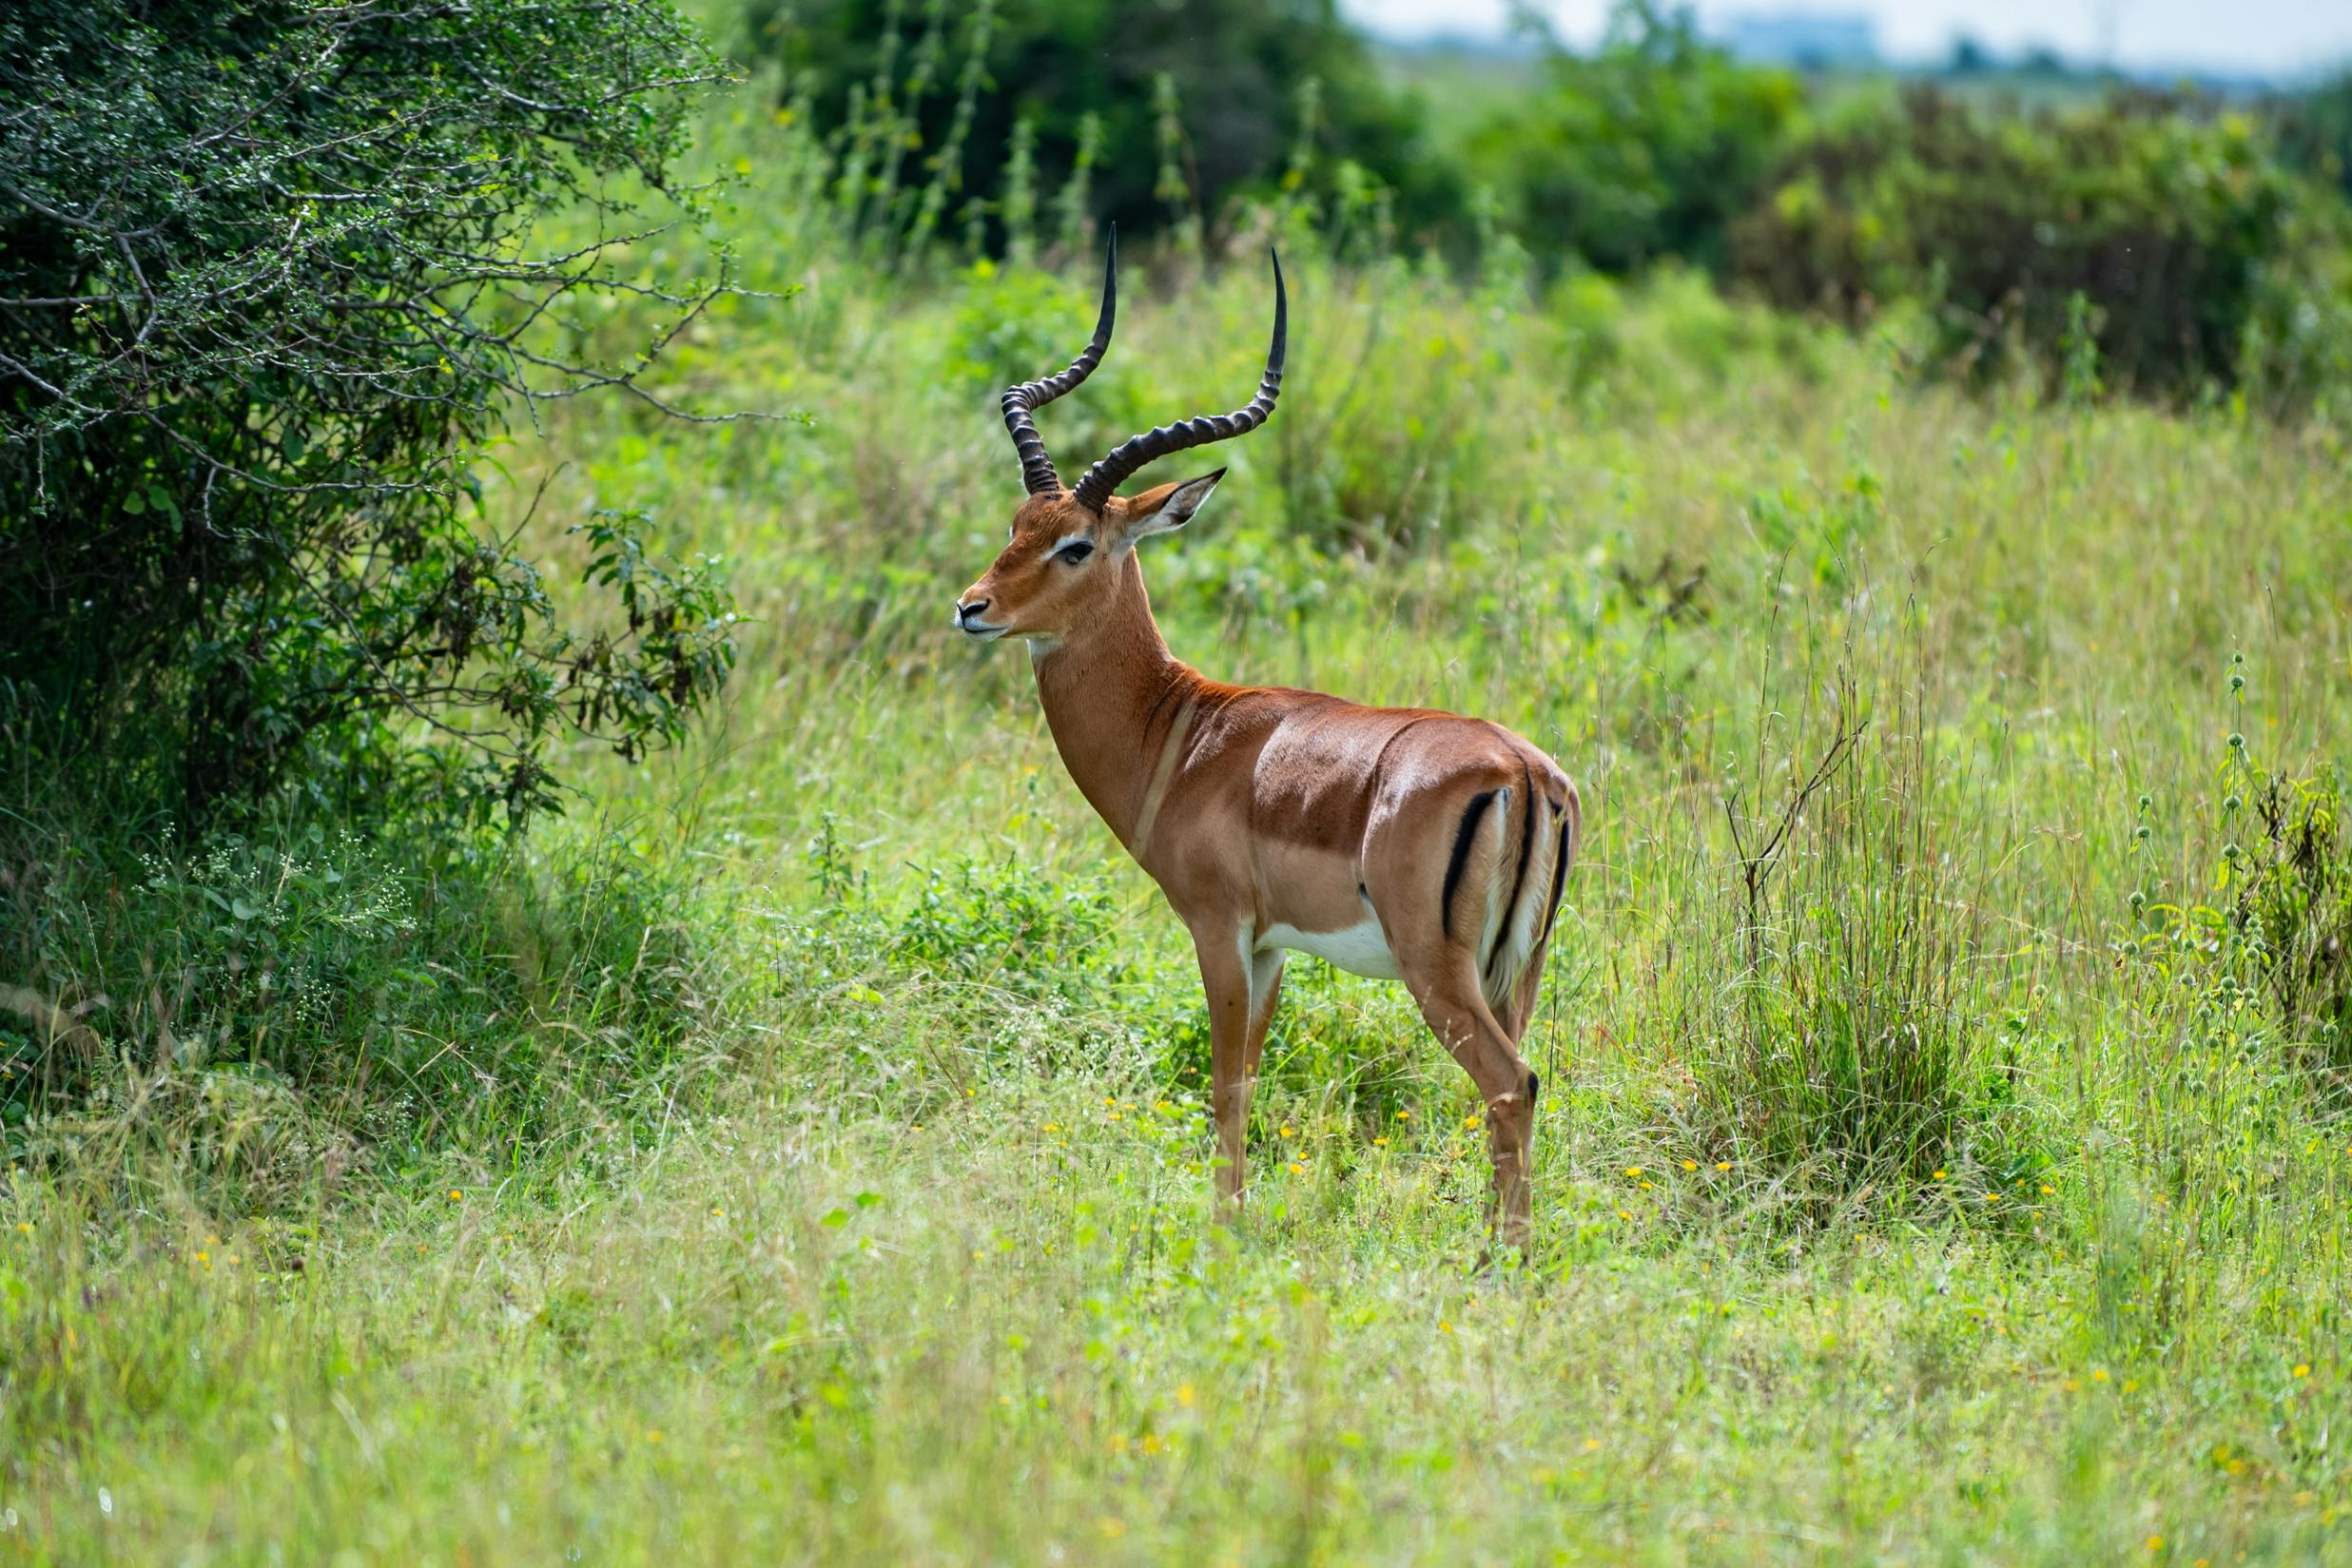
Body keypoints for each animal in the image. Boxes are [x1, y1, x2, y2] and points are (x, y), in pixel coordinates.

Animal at [954, 235, 1580, 1248]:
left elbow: (1225, 1081)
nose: (972, 608)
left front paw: (1223, 1226)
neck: (1180, 731)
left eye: (1075, 544)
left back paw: (1505, 1257)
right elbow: (1249, 1072)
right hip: (1513, 968)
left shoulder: (1219, 927)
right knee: (1514, 1084)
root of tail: (1522, 770)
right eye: (1017, 525)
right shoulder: (1275, 947)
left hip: (1436, 969)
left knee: (1510, 1083)